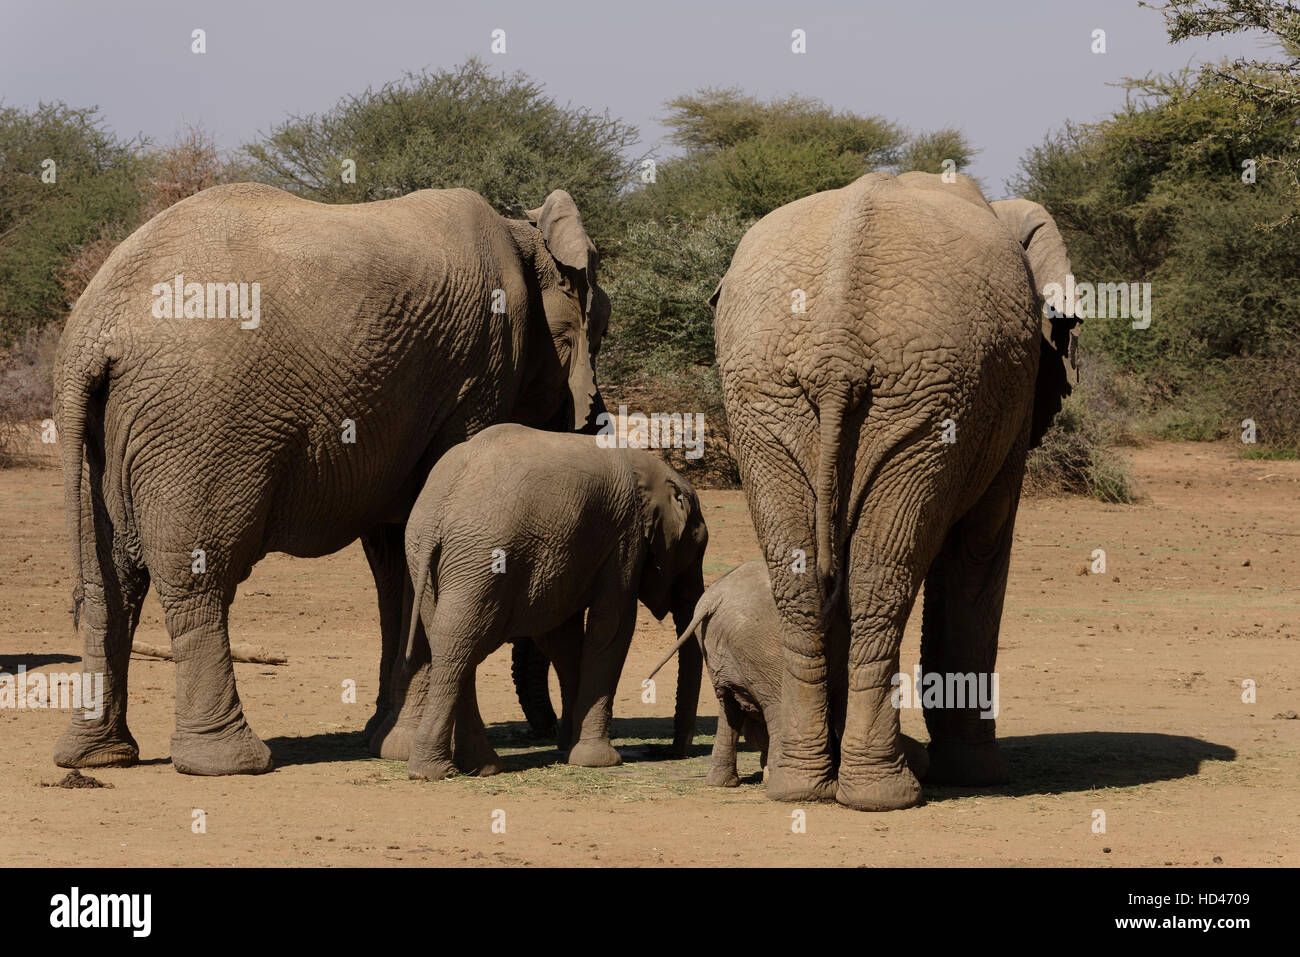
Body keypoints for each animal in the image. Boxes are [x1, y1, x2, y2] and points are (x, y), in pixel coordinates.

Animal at [53, 181, 609, 776]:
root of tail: (92, 337)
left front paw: (388, 740)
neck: (523, 231)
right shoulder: (479, 372)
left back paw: (97, 757)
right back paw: (231, 762)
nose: (547, 730)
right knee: (198, 572)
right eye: (596, 336)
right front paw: (423, 749)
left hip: (100, 434)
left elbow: (398, 554)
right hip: (198, 425)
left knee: (108, 579)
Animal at [401, 423, 709, 780]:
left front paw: (570, 748)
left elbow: (563, 639)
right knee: (462, 643)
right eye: (696, 552)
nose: (664, 751)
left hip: (427, 558)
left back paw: (478, 767)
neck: (648, 466)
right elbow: (612, 627)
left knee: (451, 642)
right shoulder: (625, 537)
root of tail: (437, 512)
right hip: (484, 556)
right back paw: (439, 771)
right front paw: (598, 760)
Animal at [646, 561, 929, 788]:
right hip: (763, 648)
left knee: (728, 708)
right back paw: (772, 777)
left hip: (720, 646)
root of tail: (713, 599)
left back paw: (722, 783)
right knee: (776, 704)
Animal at [711, 170, 1079, 810]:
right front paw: (980, 775)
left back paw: (803, 786)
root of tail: (835, 350)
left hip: (774, 399)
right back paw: (887, 792)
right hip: (927, 402)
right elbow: (979, 554)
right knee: (882, 578)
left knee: (808, 583)